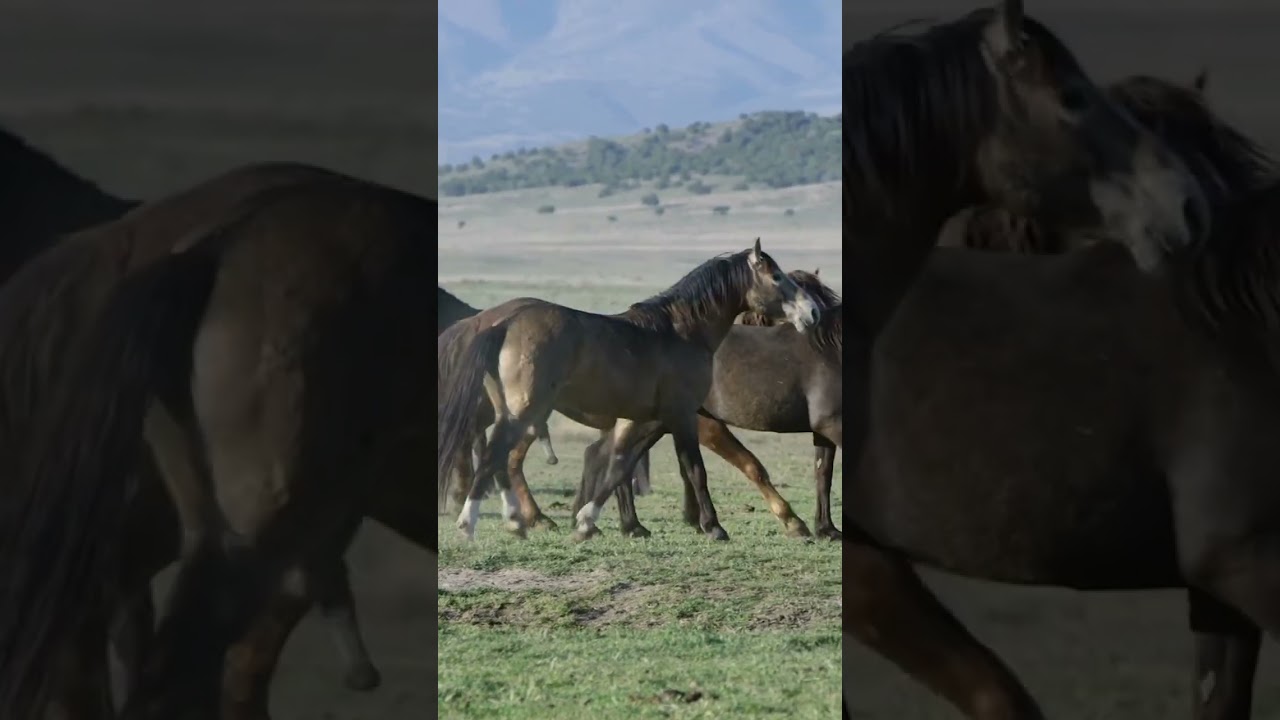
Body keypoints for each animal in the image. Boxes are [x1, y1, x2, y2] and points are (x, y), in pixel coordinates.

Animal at [437, 239, 823, 542]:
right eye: (776, 277)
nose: (813, 312)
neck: (679, 332)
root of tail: (500, 321)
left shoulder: (643, 419)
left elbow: (619, 466)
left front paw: (590, 522)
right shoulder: (681, 415)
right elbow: (695, 469)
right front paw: (714, 527)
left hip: (513, 411)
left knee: (501, 459)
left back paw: (517, 522)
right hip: (524, 410)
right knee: (494, 456)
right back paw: (472, 523)